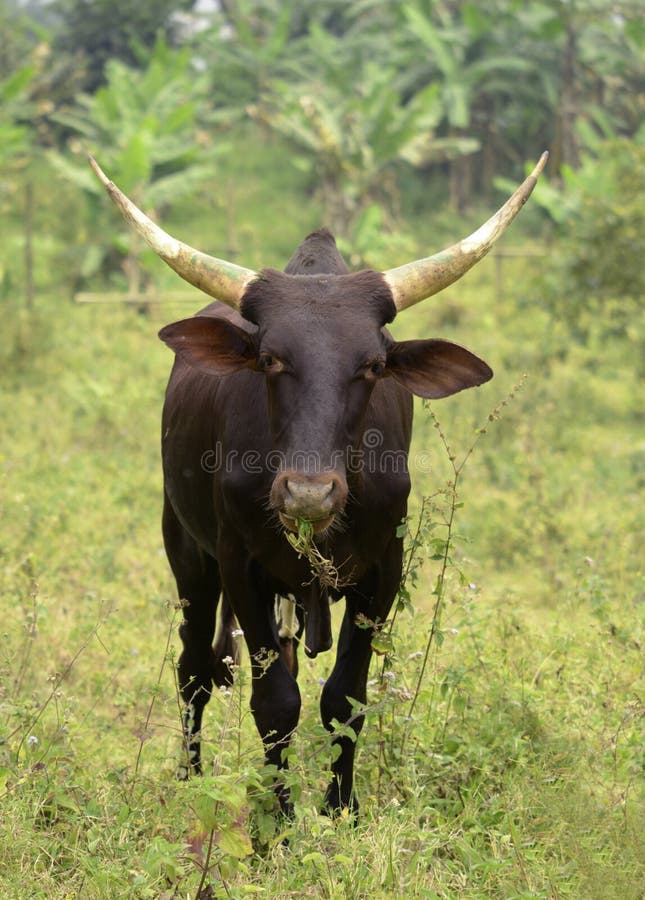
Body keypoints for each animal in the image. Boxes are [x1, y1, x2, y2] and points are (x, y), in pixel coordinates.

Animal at [89, 152, 547, 818]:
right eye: (270, 359)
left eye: (374, 367)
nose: (307, 496)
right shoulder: (239, 565)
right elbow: (276, 703)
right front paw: (276, 820)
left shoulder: (383, 570)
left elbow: (344, 699)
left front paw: (339, 812)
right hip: (187, 553)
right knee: (193, 667)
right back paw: (190, 779)